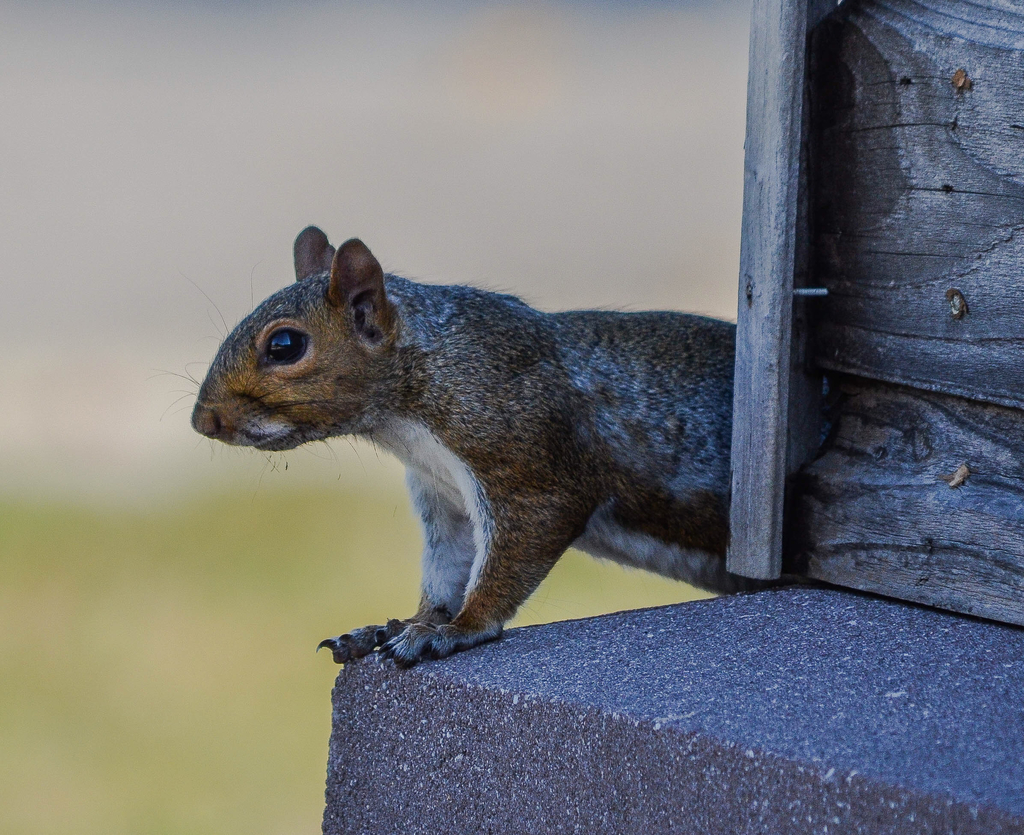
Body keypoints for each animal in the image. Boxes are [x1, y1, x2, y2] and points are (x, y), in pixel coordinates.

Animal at [192, 226, 765, 666]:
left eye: (285, 345)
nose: (203, 421)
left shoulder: (523, 459)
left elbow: (520, 546)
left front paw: (459, 628)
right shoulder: (443, 496)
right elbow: (448, 565)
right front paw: (403, 624)